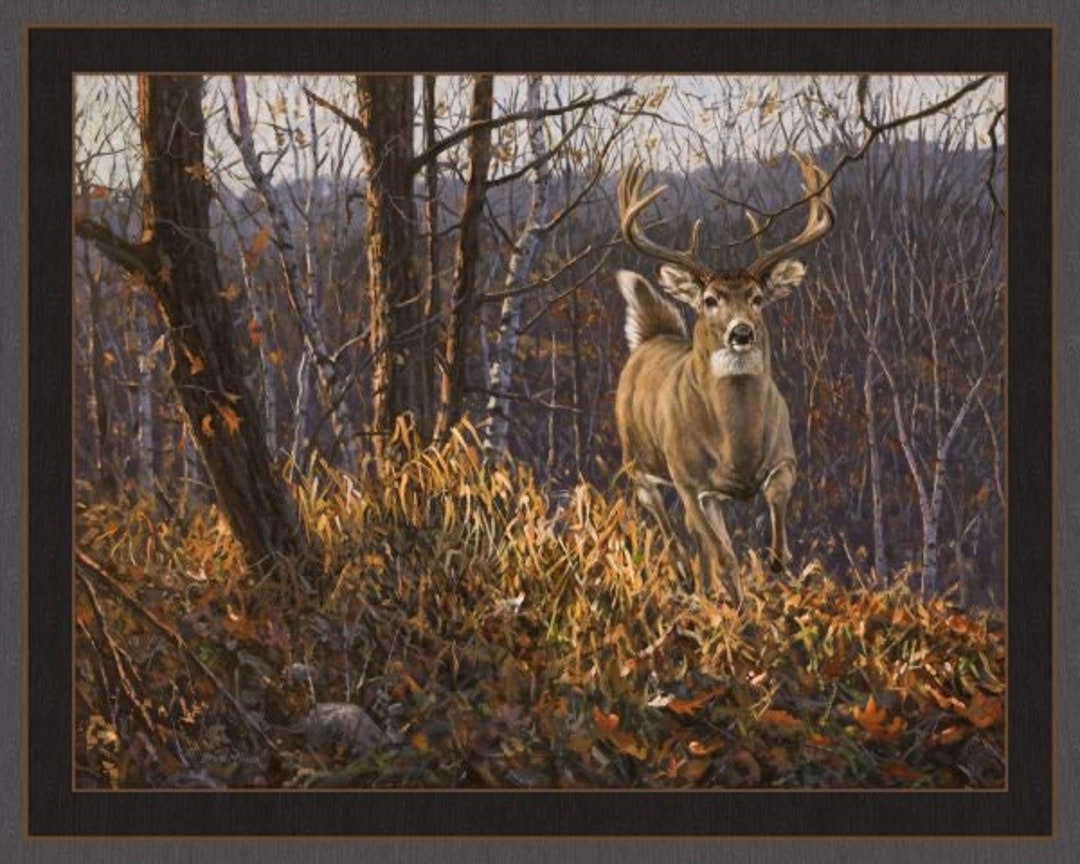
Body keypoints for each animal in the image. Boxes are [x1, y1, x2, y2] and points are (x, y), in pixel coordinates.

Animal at [614, 154, 833, 603]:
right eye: (711, 300)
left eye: (757, 297)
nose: (742, 332)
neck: (736, 447)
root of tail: (652, 336)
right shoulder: (686, 478)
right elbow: (721, 552)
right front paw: (735, 598)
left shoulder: (785, 454)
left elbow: (772, 501)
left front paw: (776, 561)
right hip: (637, 461)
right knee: (671, 525)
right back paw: (686, 578)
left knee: (696, 535)